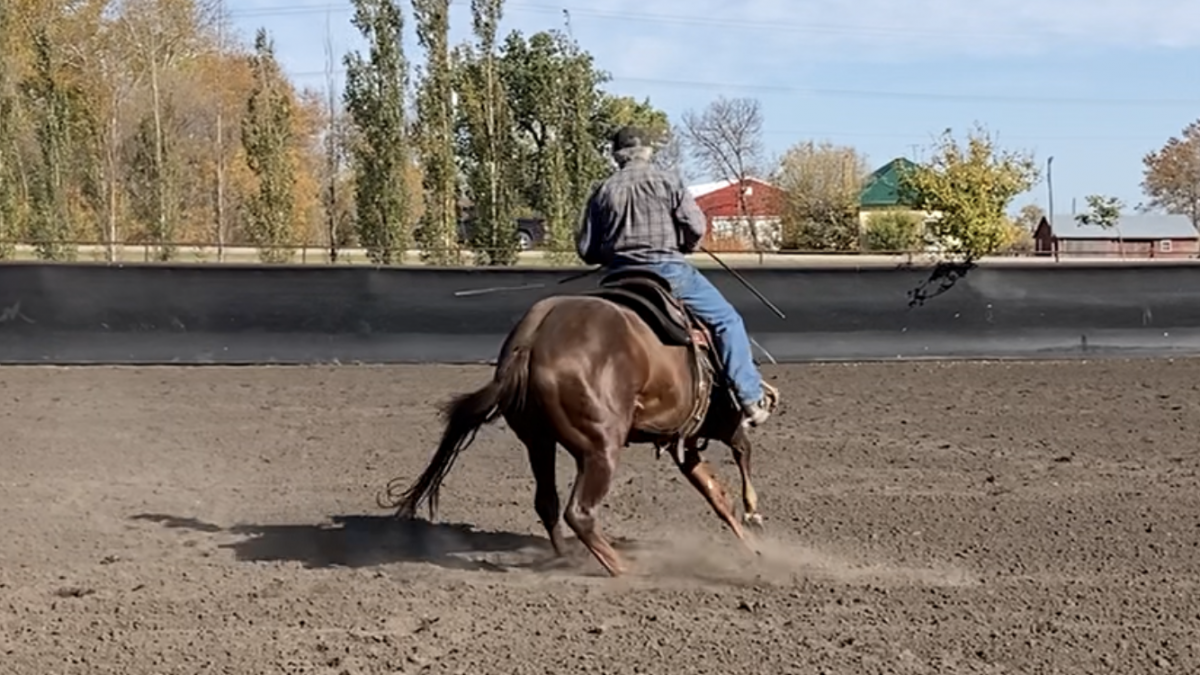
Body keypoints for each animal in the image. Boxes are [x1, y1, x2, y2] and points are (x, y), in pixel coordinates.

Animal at [378, 267, 781, 576]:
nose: (766, 397)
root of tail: (532, 341)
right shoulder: (721, 423)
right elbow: (742, 453)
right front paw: (754, 517)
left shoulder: (680, 440)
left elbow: (715, 494)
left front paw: (752, 544)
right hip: (600, 449)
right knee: (579, 512)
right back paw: (623, 568)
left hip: (538, 440)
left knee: (547, 502)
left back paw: (567, 557)